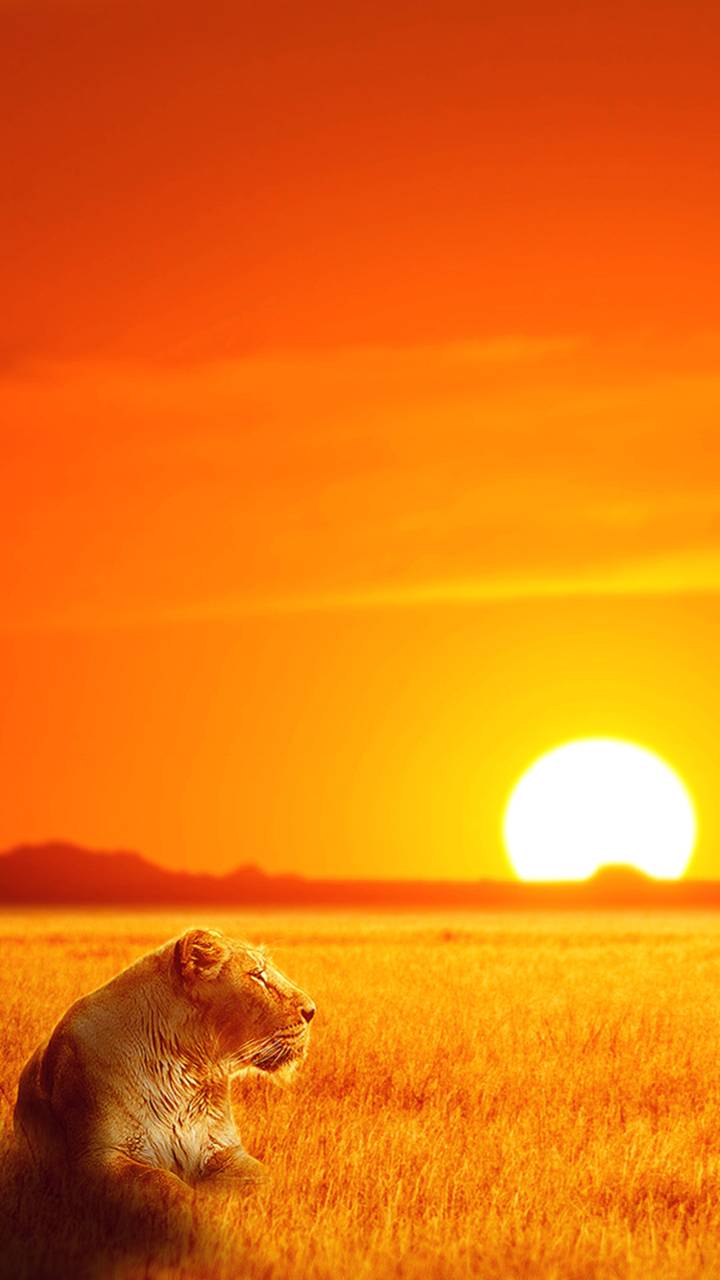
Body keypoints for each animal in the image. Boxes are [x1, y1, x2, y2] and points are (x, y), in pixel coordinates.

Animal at [14, 928, 316, 1200]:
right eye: (257, 976)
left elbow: (265, 1177)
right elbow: (162, 1183)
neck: (186, 1073)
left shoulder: (224, 1150)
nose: (312, 1010)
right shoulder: (96, 1158)